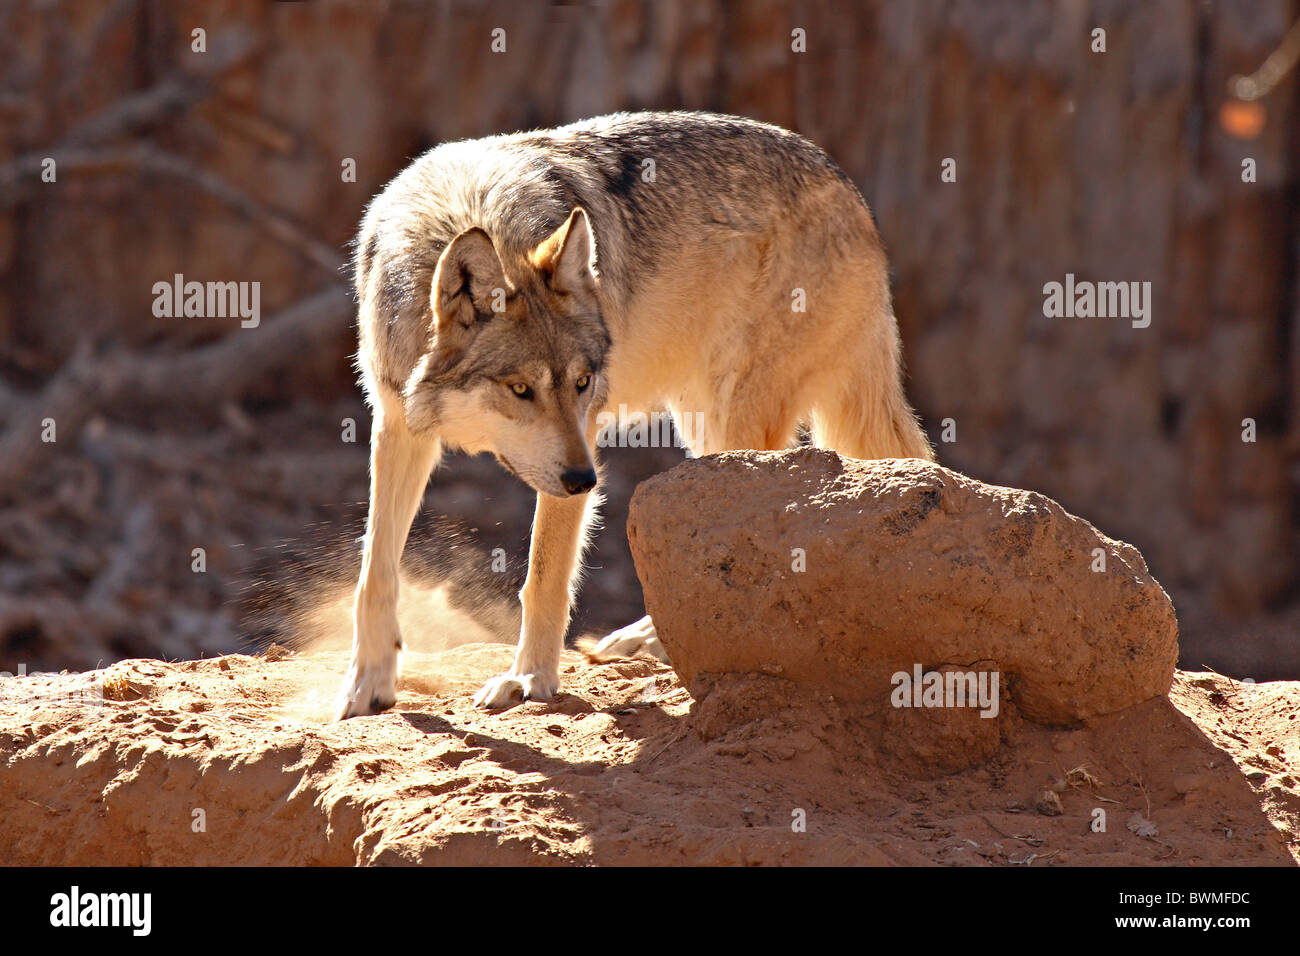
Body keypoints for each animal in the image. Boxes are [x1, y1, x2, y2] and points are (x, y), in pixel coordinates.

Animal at [337, 111, 933, 718]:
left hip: (738, 418)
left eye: (581, 383)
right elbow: (375, 569)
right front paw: (367, 683)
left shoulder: (581, 438)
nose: (585, 481)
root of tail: (848, 190)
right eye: (521, 389)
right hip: (702, 425)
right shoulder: (396, 423)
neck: (469, 208)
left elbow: (543, 577)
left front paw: (529, 679)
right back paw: (646, 637)